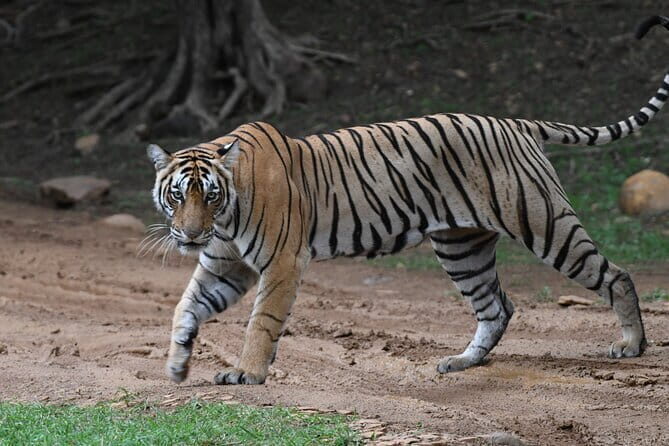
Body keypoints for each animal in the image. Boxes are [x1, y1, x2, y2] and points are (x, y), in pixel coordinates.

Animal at [147, 16, 669, 385]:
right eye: (178, 196)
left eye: (211, 196)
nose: (190, 235)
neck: (226, 219)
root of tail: (516, 122)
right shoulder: (223, 264)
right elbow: (184, 308)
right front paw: (176, 364)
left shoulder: (281, 261)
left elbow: (262, 321)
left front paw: (247, 373)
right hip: (462, 247)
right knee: (497, 306)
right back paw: (462, 362)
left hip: (544, 224)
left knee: (616, 275)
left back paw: (631, 345)